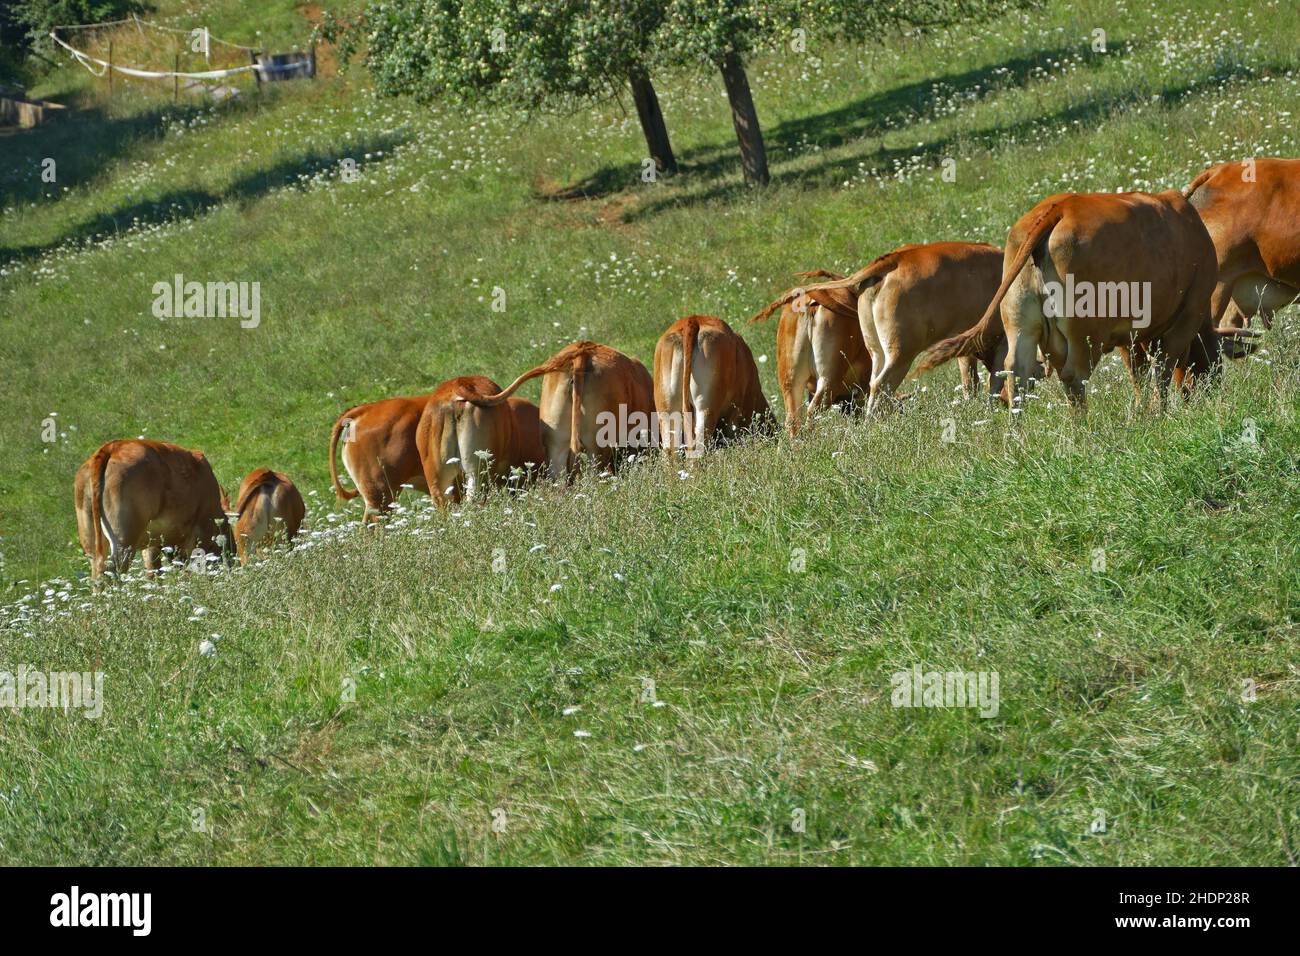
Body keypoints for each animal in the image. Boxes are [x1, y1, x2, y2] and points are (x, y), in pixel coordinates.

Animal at [74, 439, 232, 581]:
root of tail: (112, 447)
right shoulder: (199, 533)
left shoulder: (152, 543)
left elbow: (153, 571)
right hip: (124, 539)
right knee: (111, 570)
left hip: (91, 539)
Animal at [755, 244, 1019, 415]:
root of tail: (894, 259)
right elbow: (996, 377)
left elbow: (970, 380)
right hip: (898, 353)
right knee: (877, 389)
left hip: (850, 361)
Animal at [916, 190, 1233, 408]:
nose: (1212, 390)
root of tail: (1060, 207)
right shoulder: (1187, 316)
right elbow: (1163, 370)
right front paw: (1157, 412)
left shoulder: (1129, 335)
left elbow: (1139, 374)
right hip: (1084, 332)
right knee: (1073, 377)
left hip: (1021, 324)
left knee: (1016, 375)